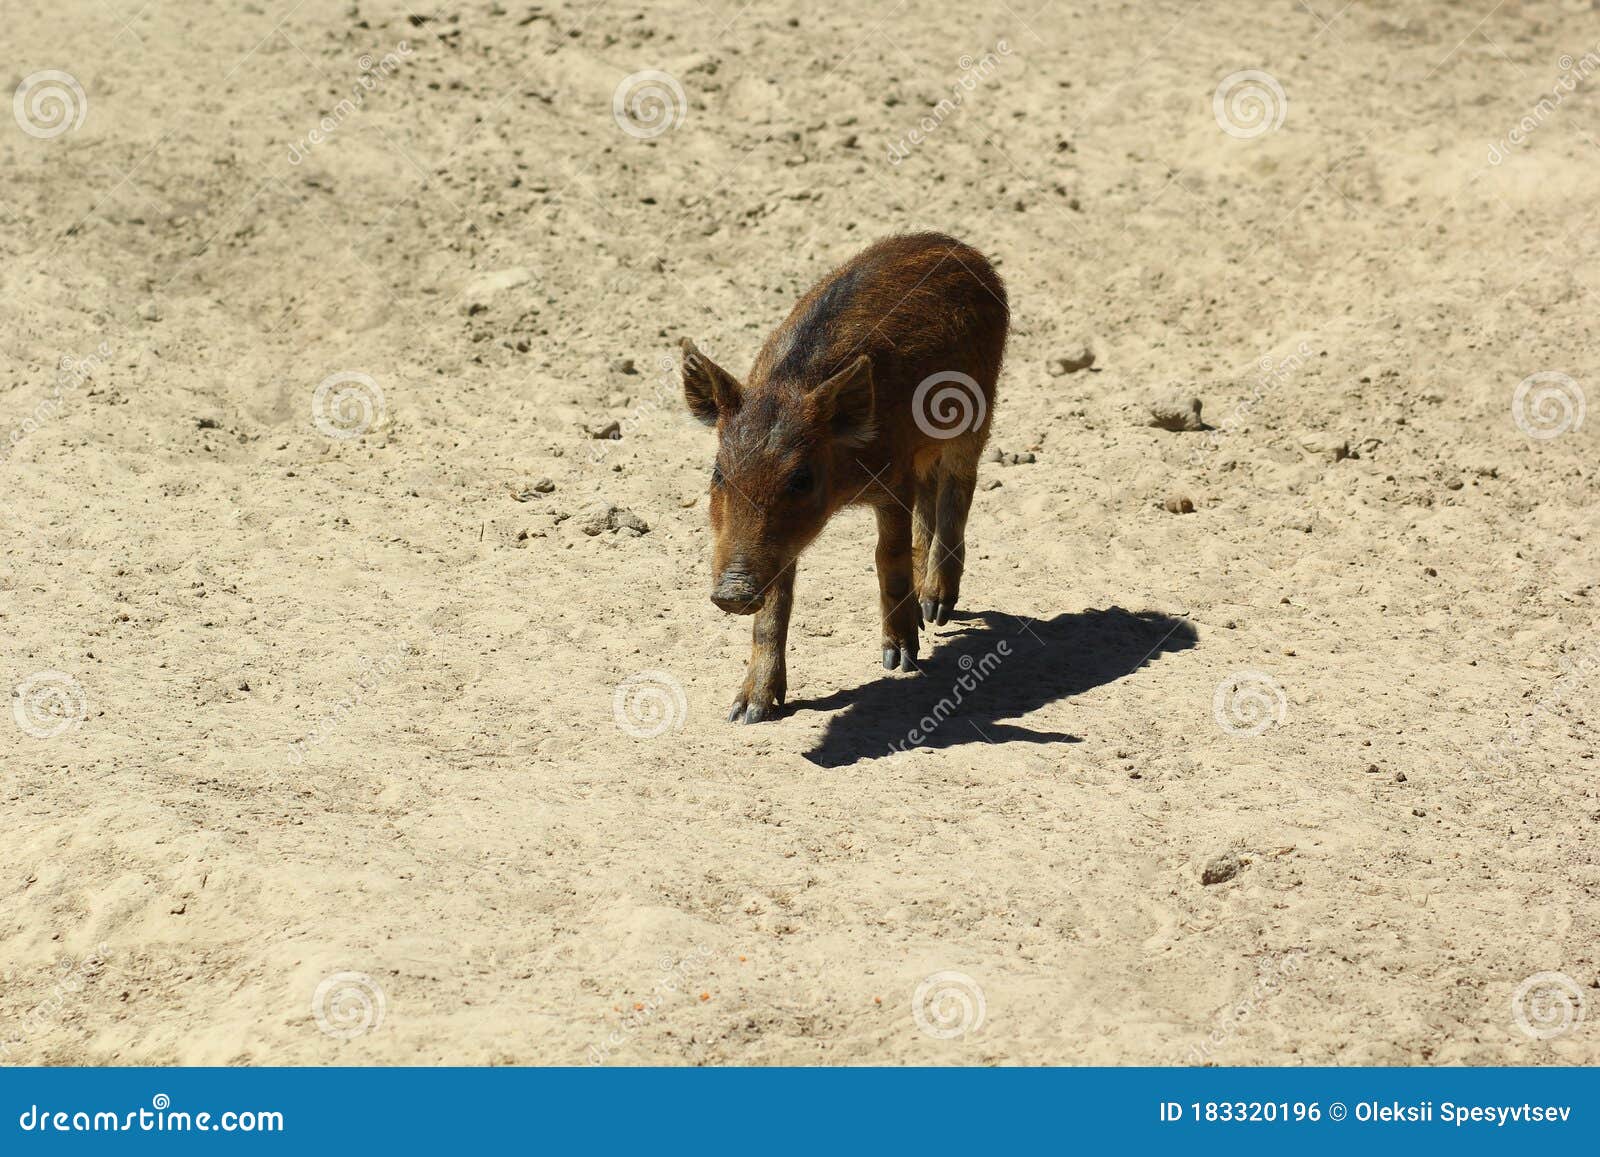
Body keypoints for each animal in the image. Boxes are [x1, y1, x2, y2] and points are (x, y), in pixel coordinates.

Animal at [680, 232, 1008, 723]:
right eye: (719, 473)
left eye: (800, 478)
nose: (733, 593)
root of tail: (958, 246)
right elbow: (777, 601)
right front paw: (747, 711)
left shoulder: (893, 477)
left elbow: (887, 555)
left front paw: (900, 660)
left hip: (976, 414)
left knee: (957, 491)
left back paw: (936, 610)